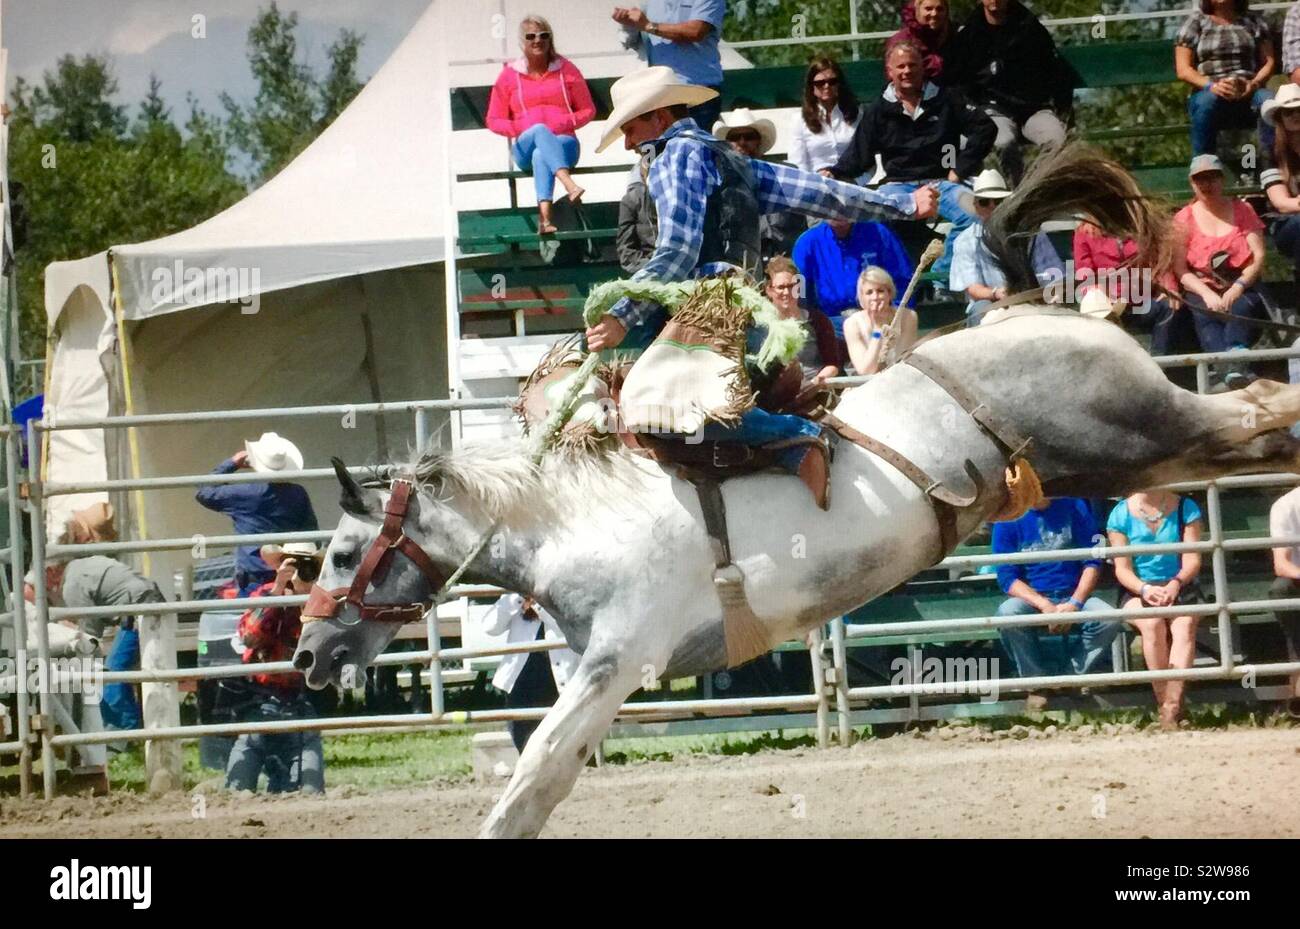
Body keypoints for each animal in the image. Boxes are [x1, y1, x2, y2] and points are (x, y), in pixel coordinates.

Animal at [293, 148, 1300, 837]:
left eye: (342, 552)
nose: (306, 652)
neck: (571, 520)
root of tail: (1020, 304)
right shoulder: (602, 672)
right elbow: (549, 778)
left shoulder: (617, 658)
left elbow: (532, 772)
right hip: (1126, 460)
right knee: (1253, 427)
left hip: (1138, 423)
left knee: (1259, 406)